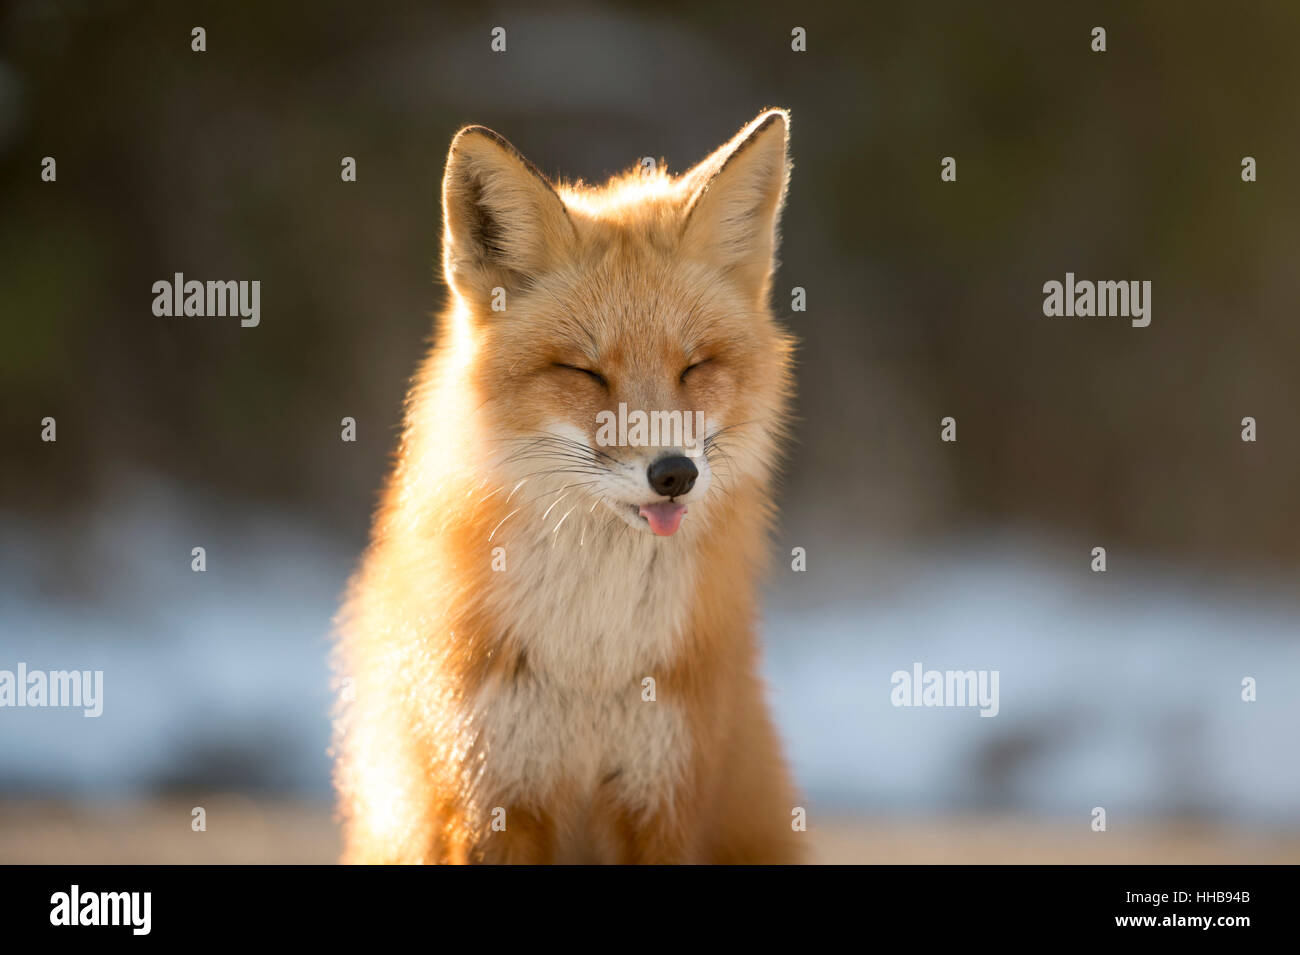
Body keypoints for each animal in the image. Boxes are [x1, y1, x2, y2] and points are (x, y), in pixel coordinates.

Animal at [333, 108, 800, 864]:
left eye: (695, 366)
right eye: (584, 373)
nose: (675, 473)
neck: (591, 665)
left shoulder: (663, 795)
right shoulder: (491, 794)